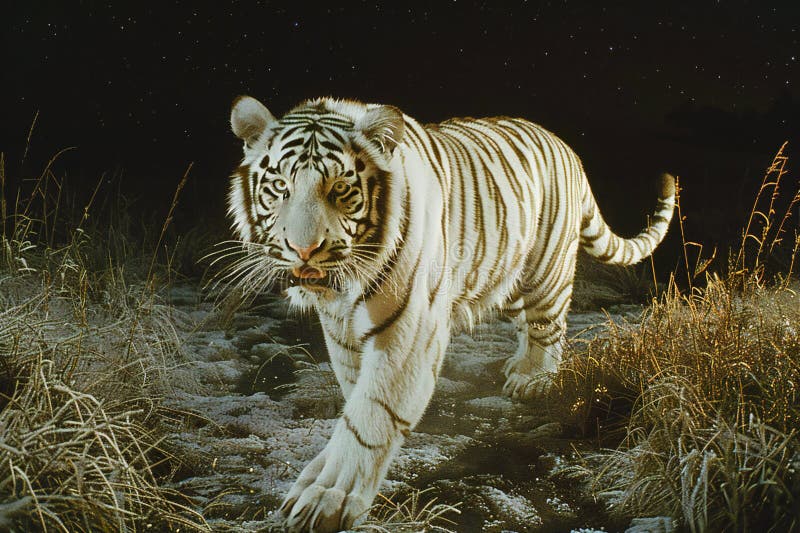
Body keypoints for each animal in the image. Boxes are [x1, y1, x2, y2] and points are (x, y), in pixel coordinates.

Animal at [225, 94, 675, 532]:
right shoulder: (340, 330)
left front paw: (327, 497)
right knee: (525, 323)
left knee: (549, 326)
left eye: (339, 187)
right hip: (503, 272)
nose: (303, 250)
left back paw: (533, 378)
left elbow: (369, 416)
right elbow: (355, 398)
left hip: (543, 272)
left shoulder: (408, 332)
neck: (342, 289)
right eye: (280, 187)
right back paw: (517, 365)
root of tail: (567, 148)